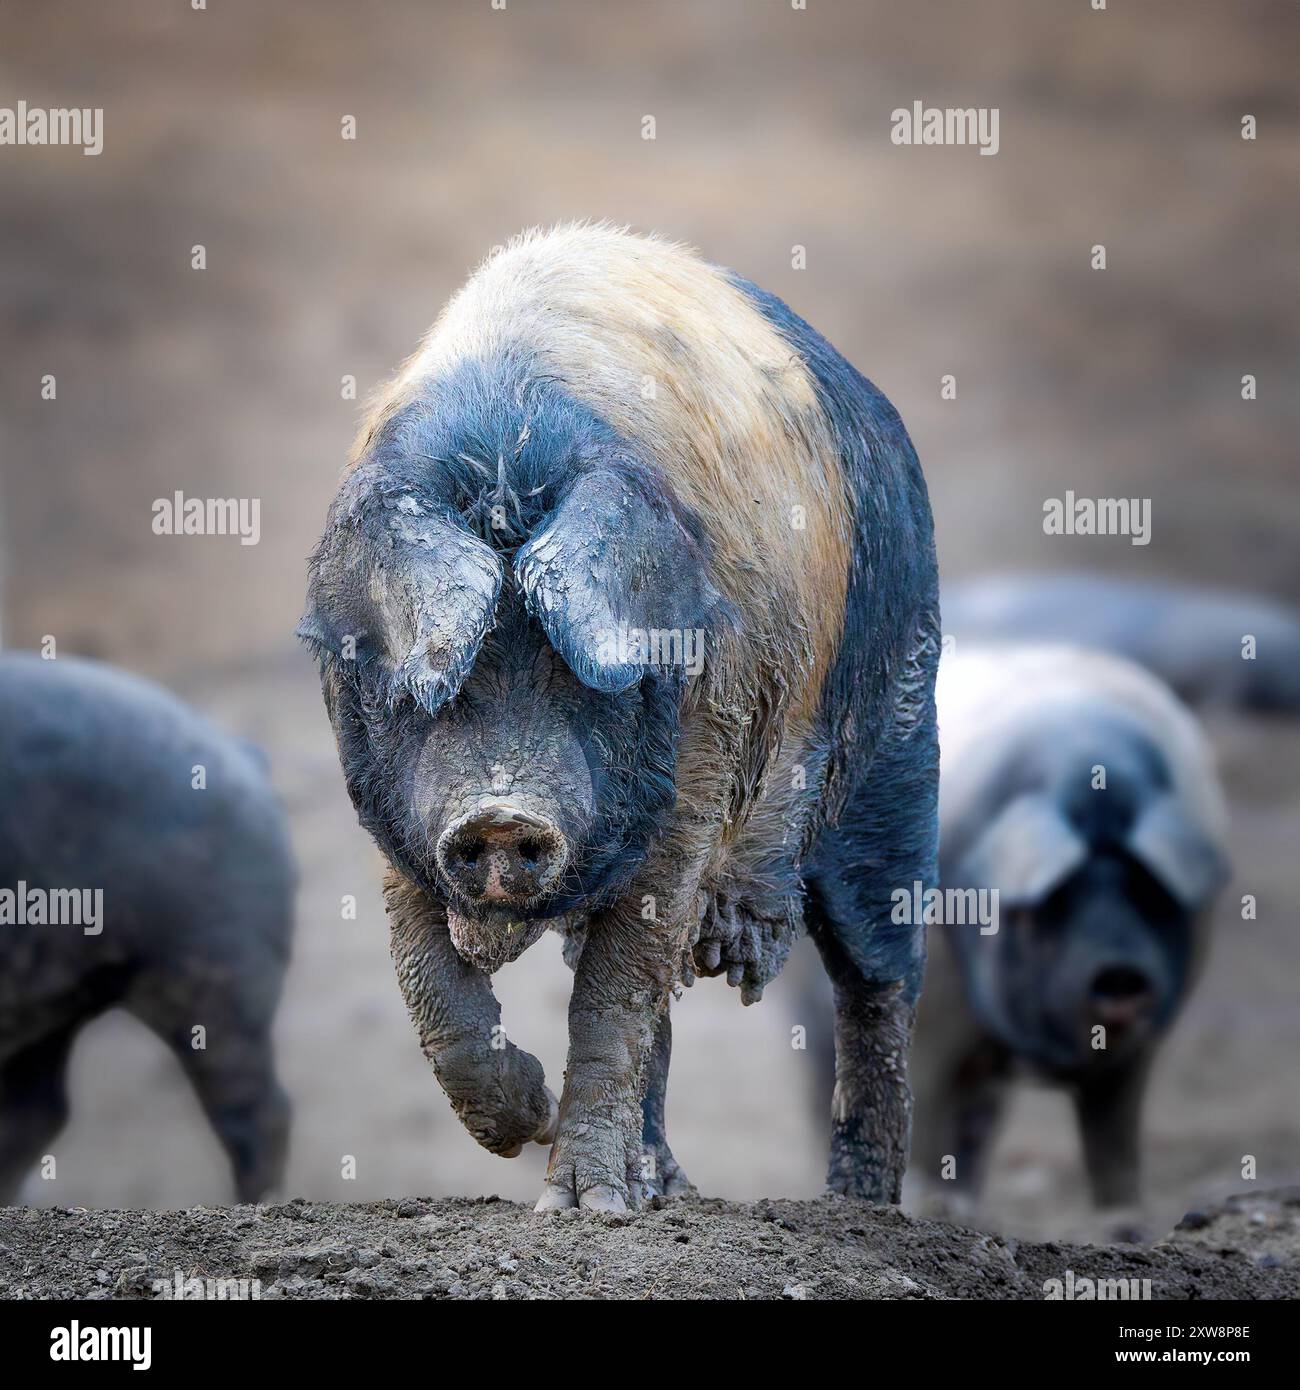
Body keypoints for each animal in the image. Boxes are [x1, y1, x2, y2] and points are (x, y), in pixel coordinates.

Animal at [300, 223, 940, 1211]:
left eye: (579, 678)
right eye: (440, 686)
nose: (501, 813)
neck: (506, 459)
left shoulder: (703, 763)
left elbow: (616, 990)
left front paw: (581, 1207)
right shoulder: (383, 803)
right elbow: (429, 981)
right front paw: (532, 1125)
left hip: (901, 729)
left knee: (880, 976)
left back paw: (855, 1208)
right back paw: (666, 1192)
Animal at [910, 643, 1229, 1210]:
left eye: (1150, 894)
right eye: (1048, 905)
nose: (1119, 970)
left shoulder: (1138, 1052)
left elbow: (1115, 1155)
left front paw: (1127, 1223)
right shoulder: (932, 1023)